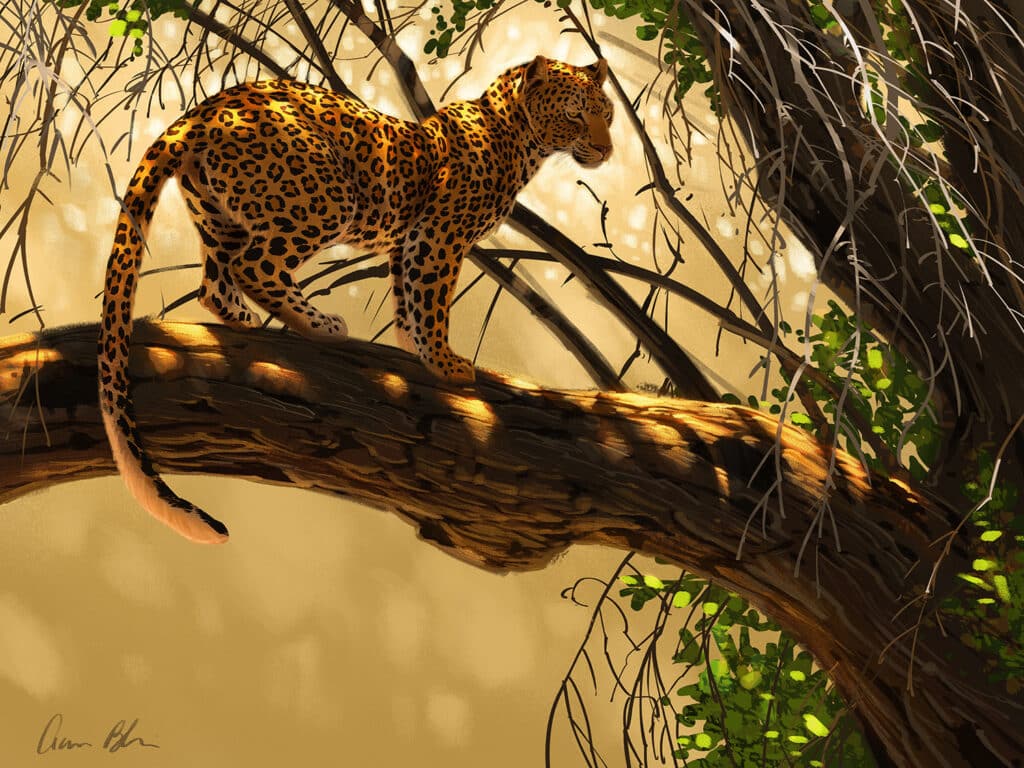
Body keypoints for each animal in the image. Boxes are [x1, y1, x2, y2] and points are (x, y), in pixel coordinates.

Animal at [98, 55, 614, 544]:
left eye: (606, 113)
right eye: (575, 113)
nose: (607, 149)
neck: (519, 139)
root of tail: (200, 113)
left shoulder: (408, 243)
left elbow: (409, 303)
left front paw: (418, 352)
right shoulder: (440, 235)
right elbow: (432, 301)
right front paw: (446, 364)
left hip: (217, 215)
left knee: (214, 282)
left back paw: (248, 323)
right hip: (323, 198)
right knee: (255, 265)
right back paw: (319, 325)